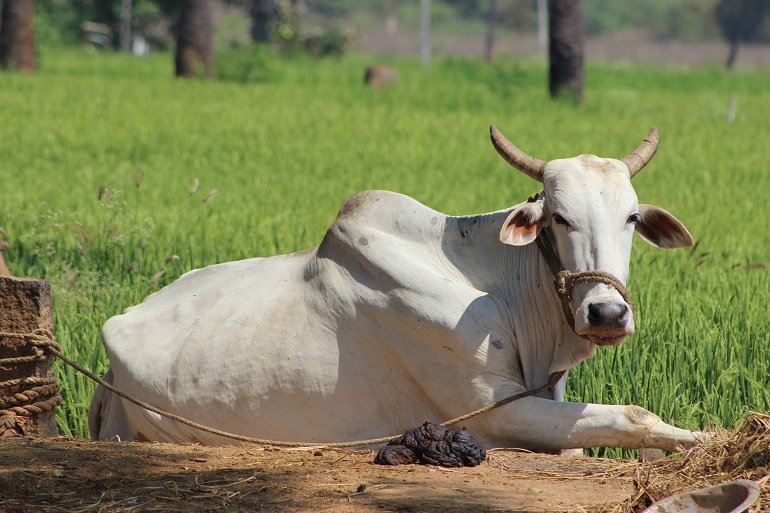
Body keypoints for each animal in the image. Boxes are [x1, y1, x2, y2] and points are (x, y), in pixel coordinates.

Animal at [89, 126, 701, 453]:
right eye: (558, 217)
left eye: (630, 218)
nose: (606, 313)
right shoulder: (493, 415)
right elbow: (632, 415)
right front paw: (703, 441)